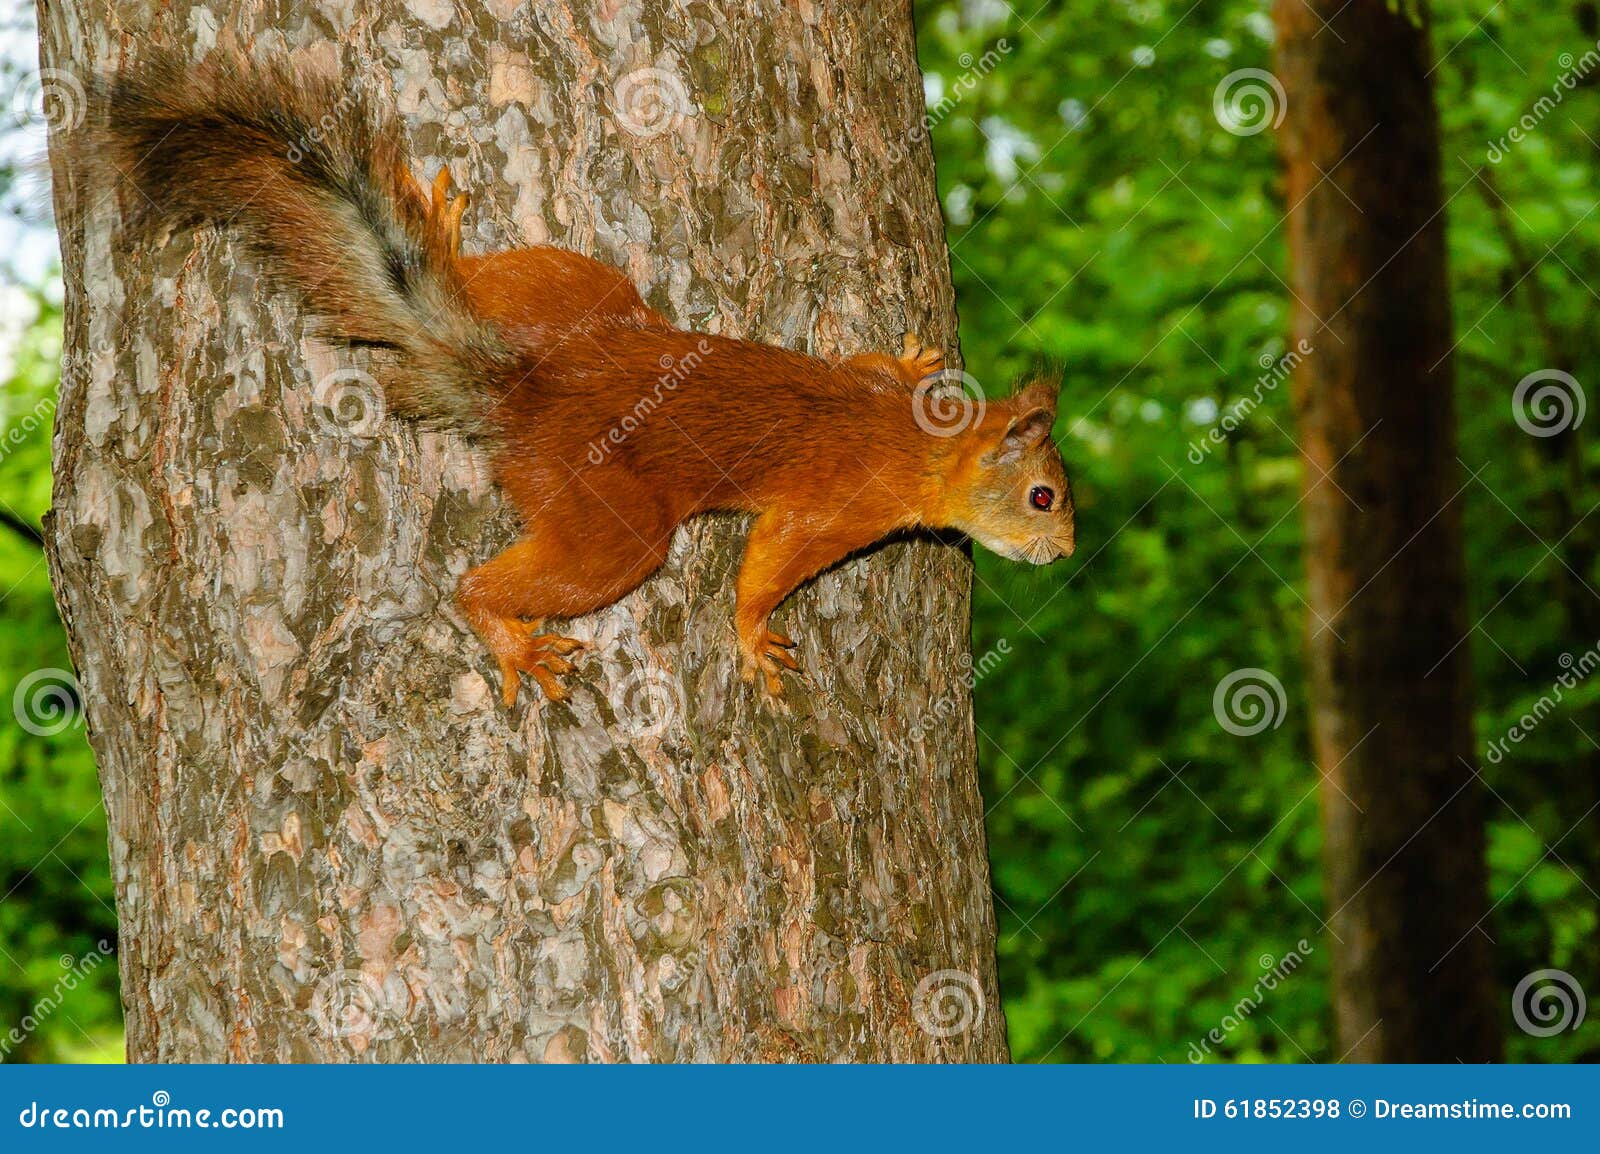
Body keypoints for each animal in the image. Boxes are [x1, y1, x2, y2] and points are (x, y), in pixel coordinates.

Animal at [79, 53, 1076, 706]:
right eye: (1043, 496)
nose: (1063, 554)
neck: (921, 442)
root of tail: (527, 385)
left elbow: (867, 361)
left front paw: (910, 357)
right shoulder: (833, 508)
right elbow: (765, 568)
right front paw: (755, 640)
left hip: (577, 293)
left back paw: (443, 229)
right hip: (611, 524)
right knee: (503, 581)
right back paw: (510, 639)